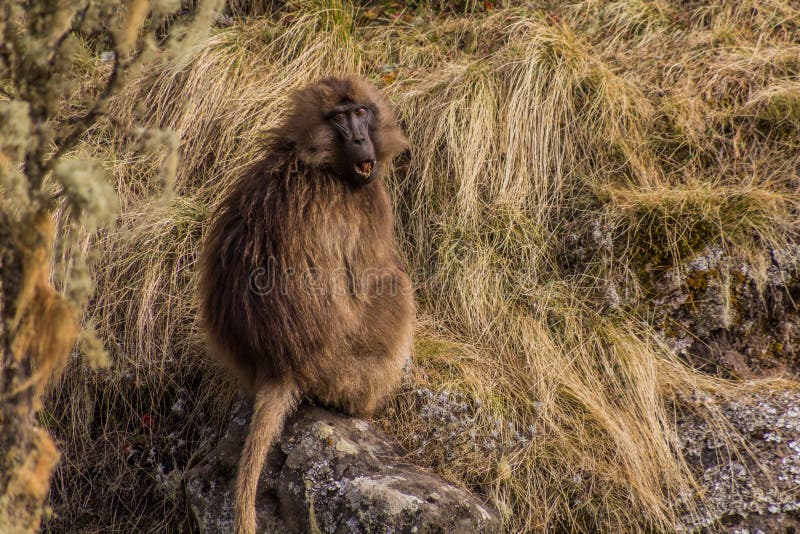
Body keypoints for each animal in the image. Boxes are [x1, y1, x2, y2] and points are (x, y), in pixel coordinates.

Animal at [198, 76, 415, 534]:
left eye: (360, 112)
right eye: (339, 118)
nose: (358, 139)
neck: (313, 160)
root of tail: (281, 367)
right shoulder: (367, 206)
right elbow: (372, 279)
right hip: (343, 367)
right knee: (397, 289)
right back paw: (365, 407)